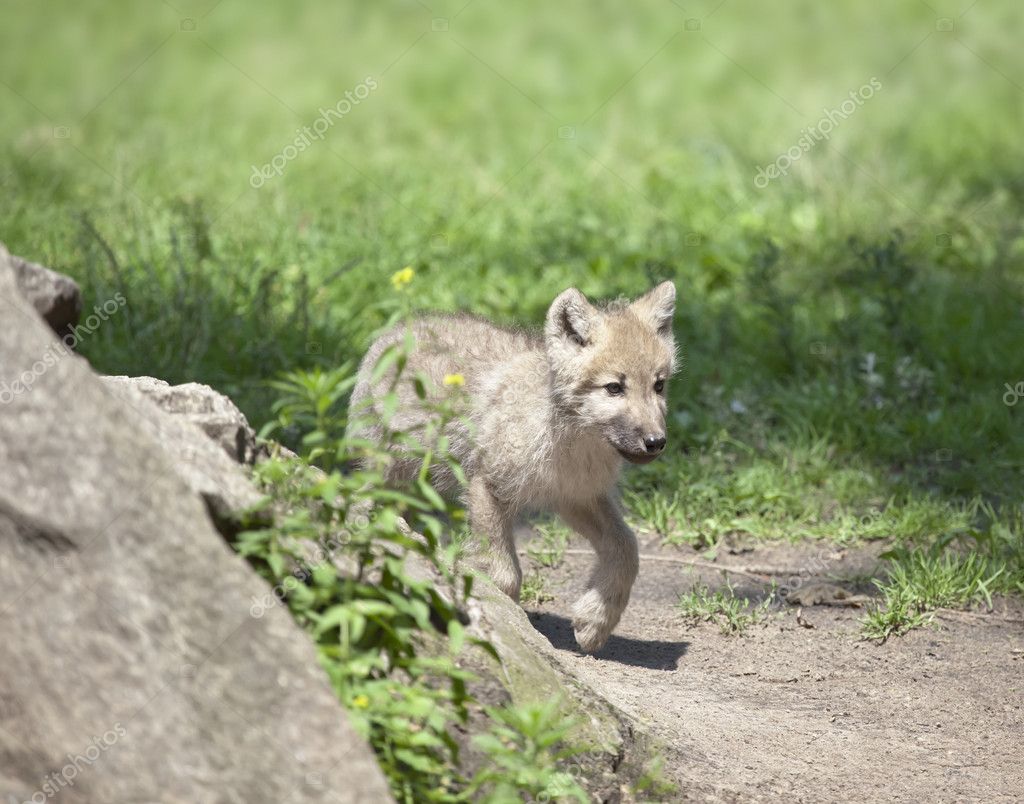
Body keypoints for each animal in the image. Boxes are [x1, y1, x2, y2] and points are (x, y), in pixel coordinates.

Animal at [348, 281, 676, 652]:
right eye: (614, 388)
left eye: (659, 385)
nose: (656, 442)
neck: (570, 443)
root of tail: (393, 332)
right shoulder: (486, 487)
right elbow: (505, 576)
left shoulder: (575, 498)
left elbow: (626, 548)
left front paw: (595, 621)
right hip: (388, 468)